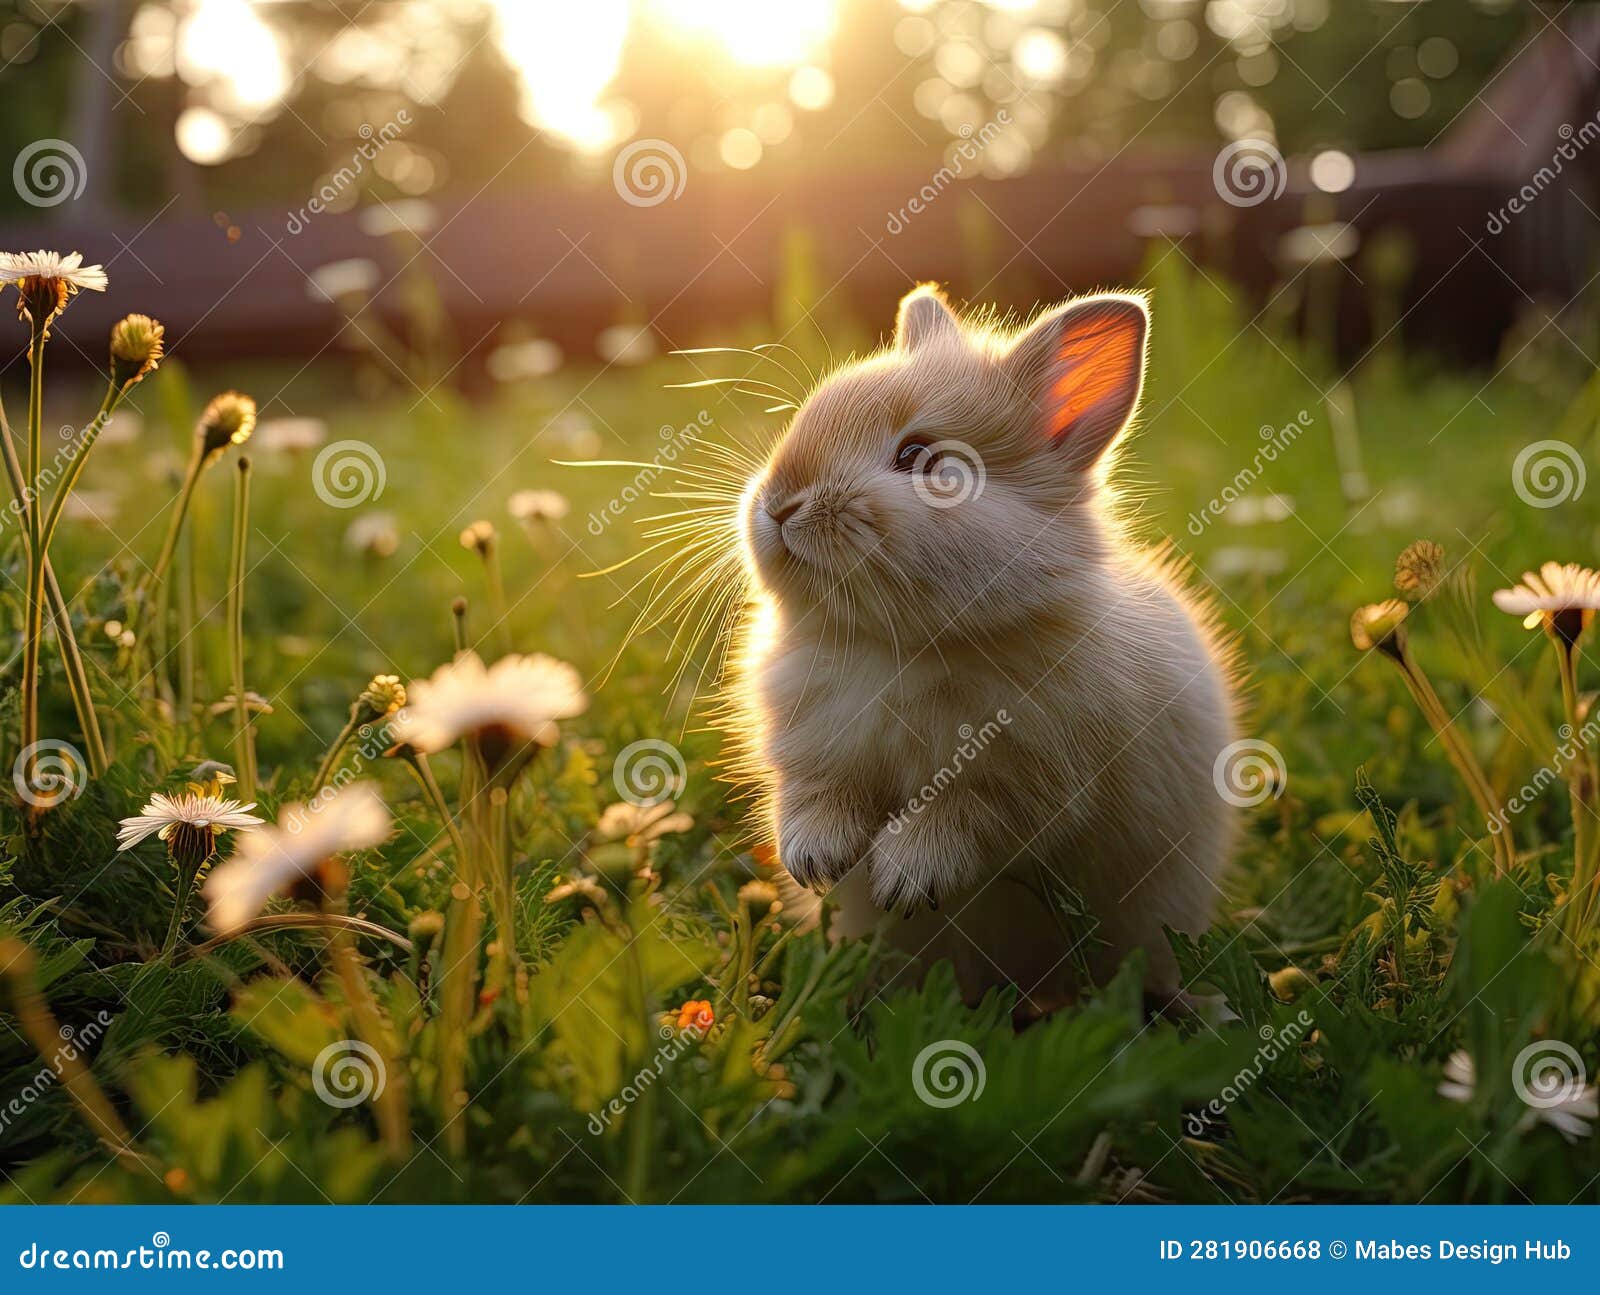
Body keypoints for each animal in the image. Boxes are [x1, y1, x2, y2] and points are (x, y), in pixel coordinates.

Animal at [731, 284, 1240, 1011]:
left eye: (919, 458)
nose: (778, 505)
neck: (900, 647)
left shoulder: (1032, 780)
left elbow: (966, 817)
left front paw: (902, 876)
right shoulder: (811, 751)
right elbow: (814, 792)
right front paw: (815, 859)